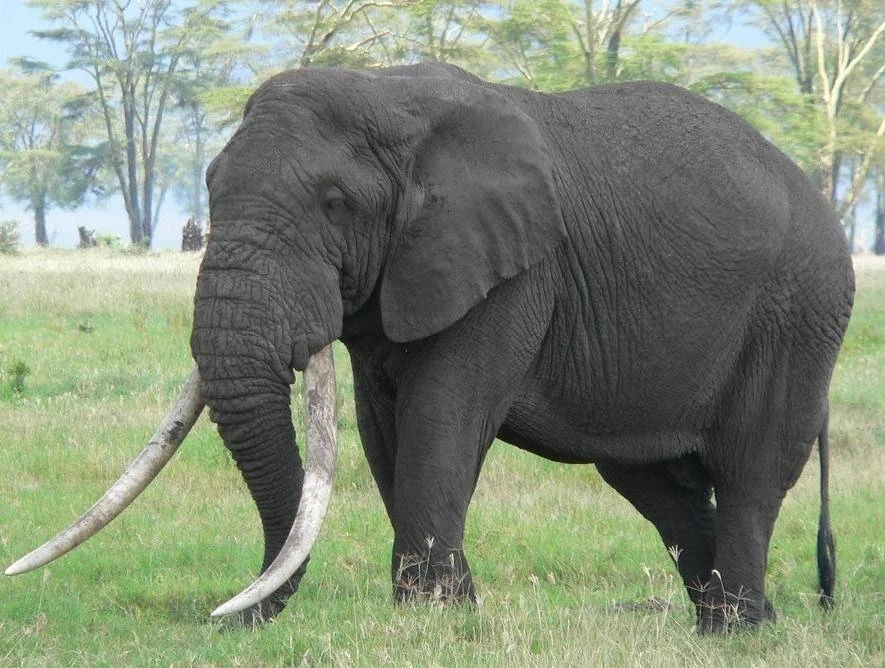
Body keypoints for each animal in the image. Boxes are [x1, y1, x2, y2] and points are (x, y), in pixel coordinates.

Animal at [7, 63, 854, 633]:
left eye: (334, 204)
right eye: (209, 186)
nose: (229, 618)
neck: (388, 98)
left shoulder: (515, 270)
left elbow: (441, 420)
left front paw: (434, 617)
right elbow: (384, 431)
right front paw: (446, 609)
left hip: (798, 310)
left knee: (748, 474)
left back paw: (738, 628)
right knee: (657, 484)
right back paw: (724, 626)